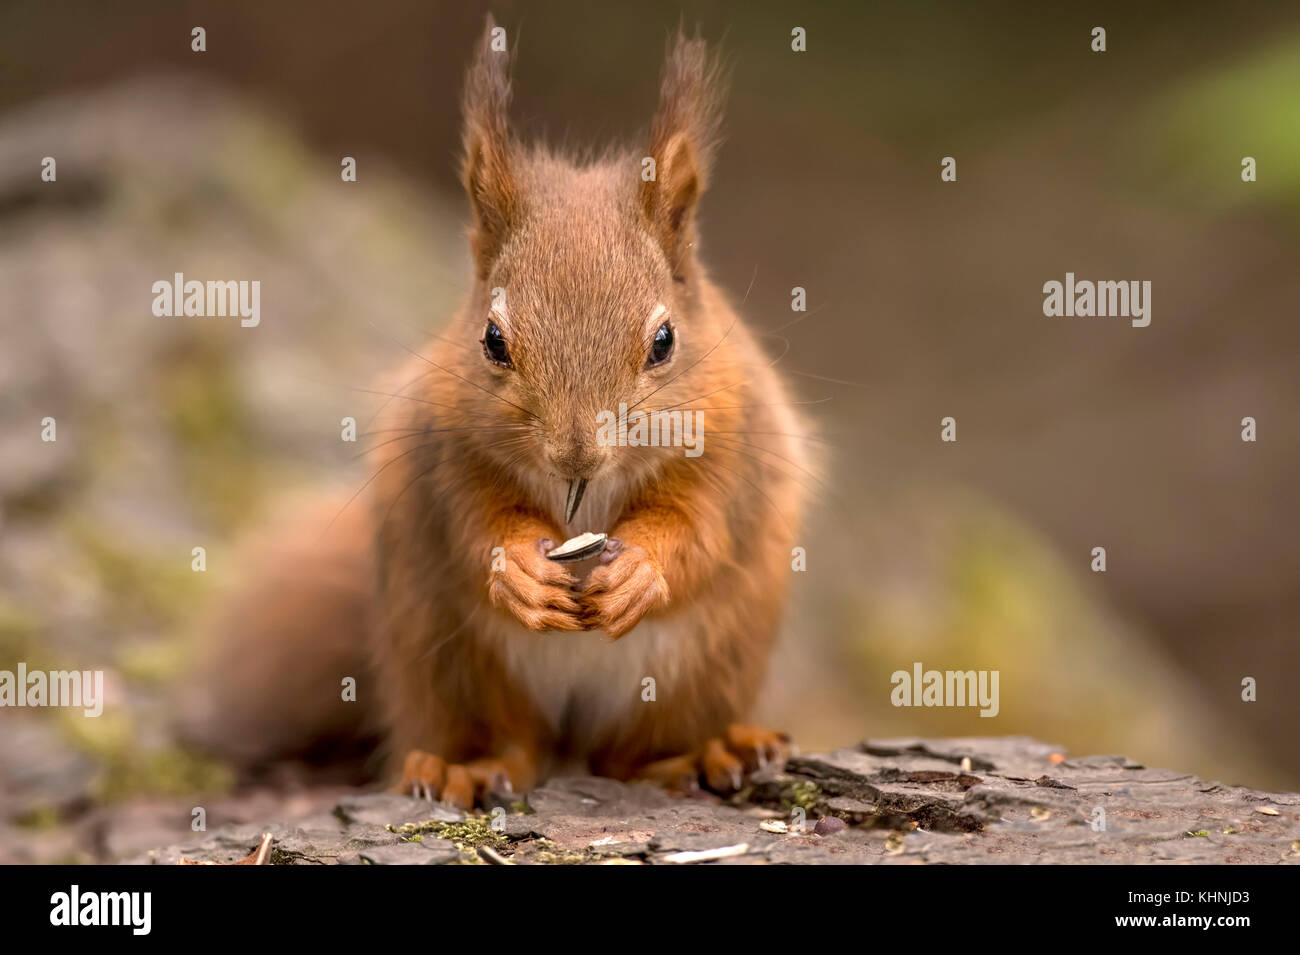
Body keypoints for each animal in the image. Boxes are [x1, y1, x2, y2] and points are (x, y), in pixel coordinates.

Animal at [180, 18, 813, 807]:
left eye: (665, 340)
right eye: (492, 339)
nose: (576, 457)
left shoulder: (732, 449)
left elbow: (700, 528)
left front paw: (640, 569)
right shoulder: (446, 452)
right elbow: (472, 521)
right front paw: (516, 569)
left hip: (701, 668)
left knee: (626, 756)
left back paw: (702, 753)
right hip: (458, 667)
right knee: (515, 746)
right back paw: (467, 769)